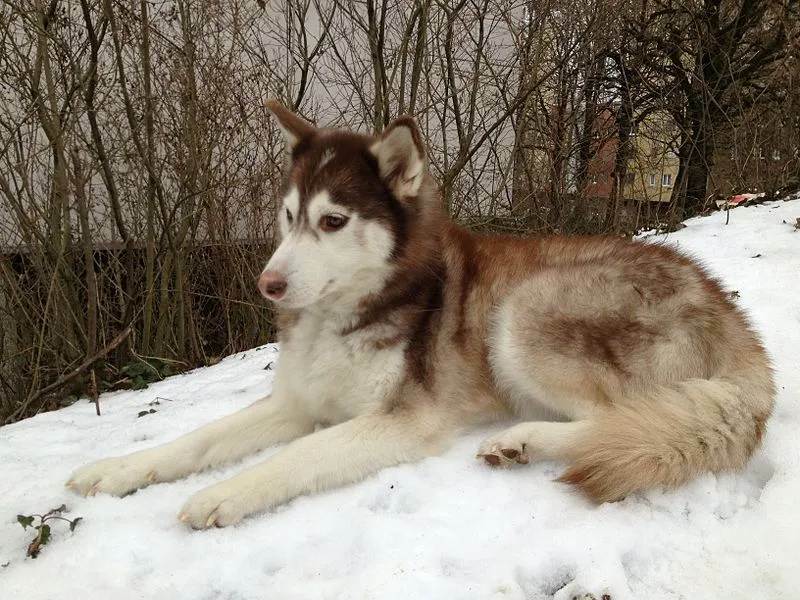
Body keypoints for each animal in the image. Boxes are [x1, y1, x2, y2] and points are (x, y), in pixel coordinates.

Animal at [69, 104, 776, 528]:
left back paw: (523, 441)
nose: (268, 284)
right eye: (289, 216)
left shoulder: (401, 419)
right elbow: (196, 440)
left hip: (522, 315)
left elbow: (300, 455)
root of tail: (726, 307)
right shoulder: (297, 403)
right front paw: (116, 470)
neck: (344, 317)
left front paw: (223, 493)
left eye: (334, 221)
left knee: (619, 421)